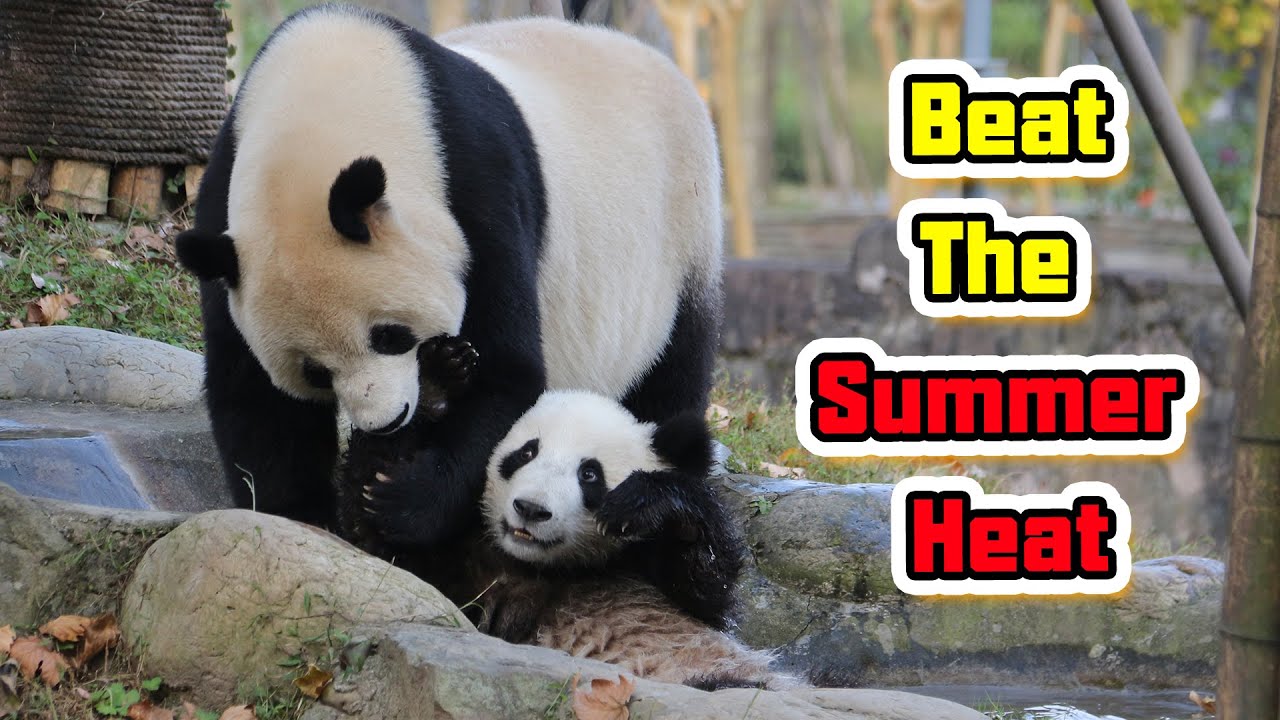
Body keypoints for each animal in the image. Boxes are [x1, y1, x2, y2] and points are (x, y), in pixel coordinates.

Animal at [173, 4, 723, 552]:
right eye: (315, 372)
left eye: (389, 336)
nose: (387, 421)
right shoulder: (224, 210)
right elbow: (253, 391)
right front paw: (300, 514)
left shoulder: (477, 186)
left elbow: (506, 369)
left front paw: (409, 501)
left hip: (681, 236)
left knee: (670, 379)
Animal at [459, 389, 798, 690]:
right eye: (526, 453)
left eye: (589, 474)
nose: (531, 508)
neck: (550, 566)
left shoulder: (654, 568)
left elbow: (710, 586)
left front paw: (646, 501)